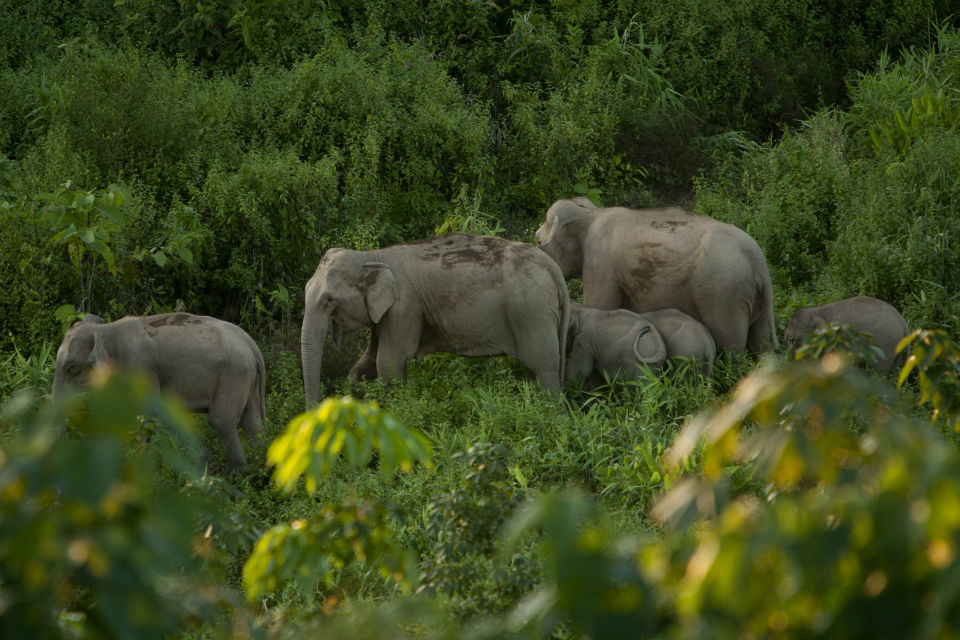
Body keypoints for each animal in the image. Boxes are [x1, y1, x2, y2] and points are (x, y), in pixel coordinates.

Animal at [53, 313, 266, 470]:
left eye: (71, 367)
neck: (105, 330)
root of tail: (252, 344)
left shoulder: (140, 367)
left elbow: (147, 413)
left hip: (234, 374)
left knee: (222, 421)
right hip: (247, 378)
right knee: (251, 421)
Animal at [301, 233, 570, 406]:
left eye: (329, 300)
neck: (373, 256)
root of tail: (552, 267)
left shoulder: (404, 308)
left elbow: (389, 361)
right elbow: (367, 361)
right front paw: (356, 393)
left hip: (532, 313)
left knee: (544, 368)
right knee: (532, 369)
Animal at [535, 198, 777, 353]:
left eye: (538, 241)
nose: (535, 238)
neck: (592, 213)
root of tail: (759, 262)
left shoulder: (600, 262)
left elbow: (601, 305)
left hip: (724, 293)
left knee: (731, 346)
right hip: (753, 298)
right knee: (762, 345)